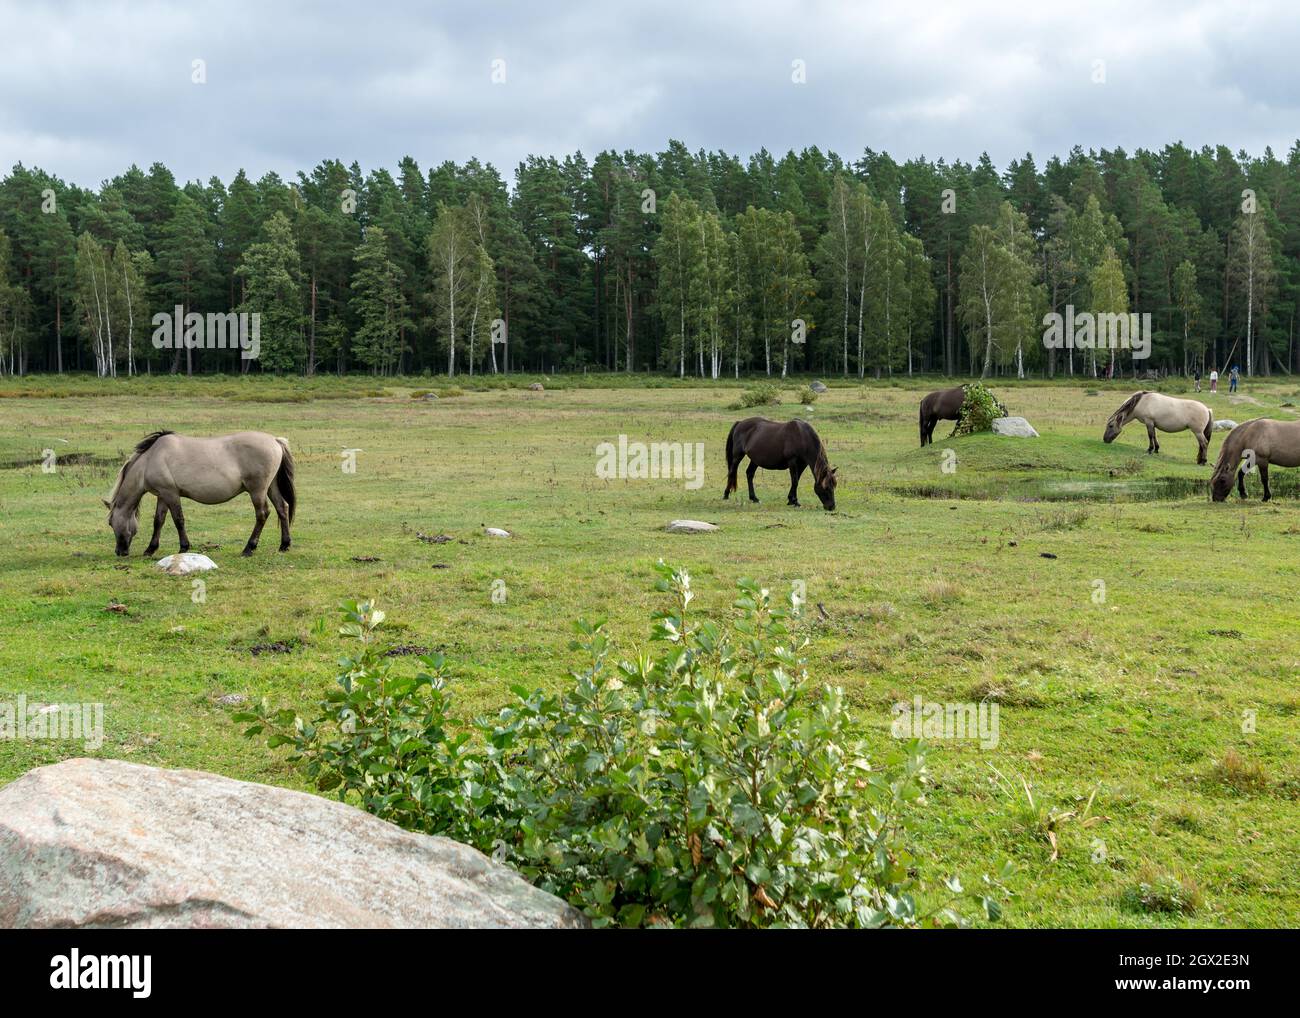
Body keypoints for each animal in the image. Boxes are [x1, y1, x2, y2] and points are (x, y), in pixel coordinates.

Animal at [104, 431, 295, 557]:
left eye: (111, 523)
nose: (119, 552)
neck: (150, 460)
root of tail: (275, 440)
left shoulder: (171, 494)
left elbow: (178, 520)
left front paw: (184, 547)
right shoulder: (162, 495)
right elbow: (158, 521)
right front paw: (150, 549)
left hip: (257, 490)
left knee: (262, 514)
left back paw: (249, 548)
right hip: (270, 488)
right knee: (282, 508)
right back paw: (284, 545)